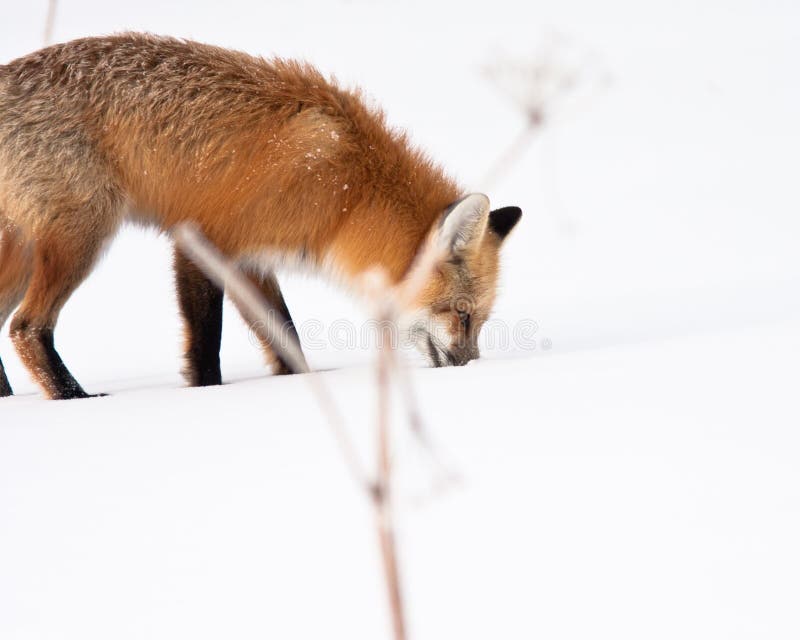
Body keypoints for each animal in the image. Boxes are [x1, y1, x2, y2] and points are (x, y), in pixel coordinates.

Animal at [0, 33, 522, 400]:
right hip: (80, 237)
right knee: (26, 328)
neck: (350, 187)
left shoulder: (250, 259)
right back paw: (74, 399)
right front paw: (206, 397)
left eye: (480, 320)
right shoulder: (202, 240)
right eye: (462, 315)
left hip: (25, 256)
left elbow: (285, 336)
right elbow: (206, 347)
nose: (469, 368)